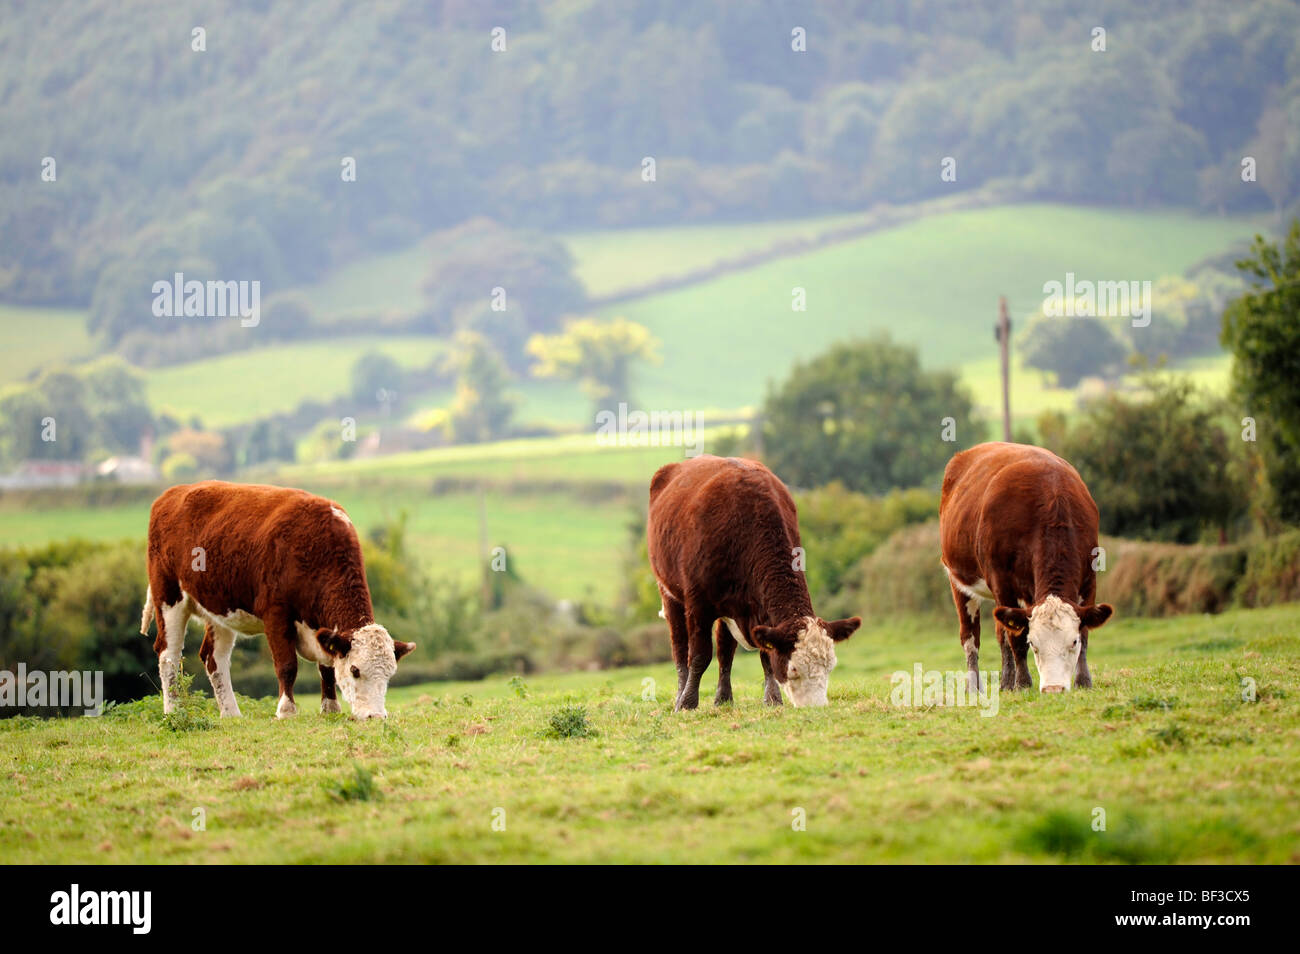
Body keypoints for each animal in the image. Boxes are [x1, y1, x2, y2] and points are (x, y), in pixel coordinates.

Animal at [141, 481, 414, 720]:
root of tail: (172, 493)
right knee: (168, 654)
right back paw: (173, 711)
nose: (375, 716)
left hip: (218, 607)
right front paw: (286, 711)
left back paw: (231, 714)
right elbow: (287, 665)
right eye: (355, 670)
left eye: (390, 673)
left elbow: (326, 668)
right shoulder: (276, 612)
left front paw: (330, 708)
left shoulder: (321, 628)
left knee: (213, 657)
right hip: (168, 596)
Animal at [647, 455, 861, 709]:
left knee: (725, 651)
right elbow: (699, 655)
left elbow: (764, 655)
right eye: (794, 669)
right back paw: (682, 694)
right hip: (669, 592)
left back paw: (724, 698)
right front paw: (687, 702)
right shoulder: (698, 603)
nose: (815, 708)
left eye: (830, 668)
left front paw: (772, 699)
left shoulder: (759, 611)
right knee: (680, 648)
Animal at [939, 442, 1114, 693]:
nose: (1053, 688)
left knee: (1000, 634)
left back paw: (1005, 683)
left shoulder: (1089, 579)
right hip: (960, 582)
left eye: (1072, 642)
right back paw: (974, 686)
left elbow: (1085, 632)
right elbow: (1017, 639)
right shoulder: (1002, 582)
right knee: (971, 637)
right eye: (1034, 643)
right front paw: (1023, 683)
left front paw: (1083, 681)